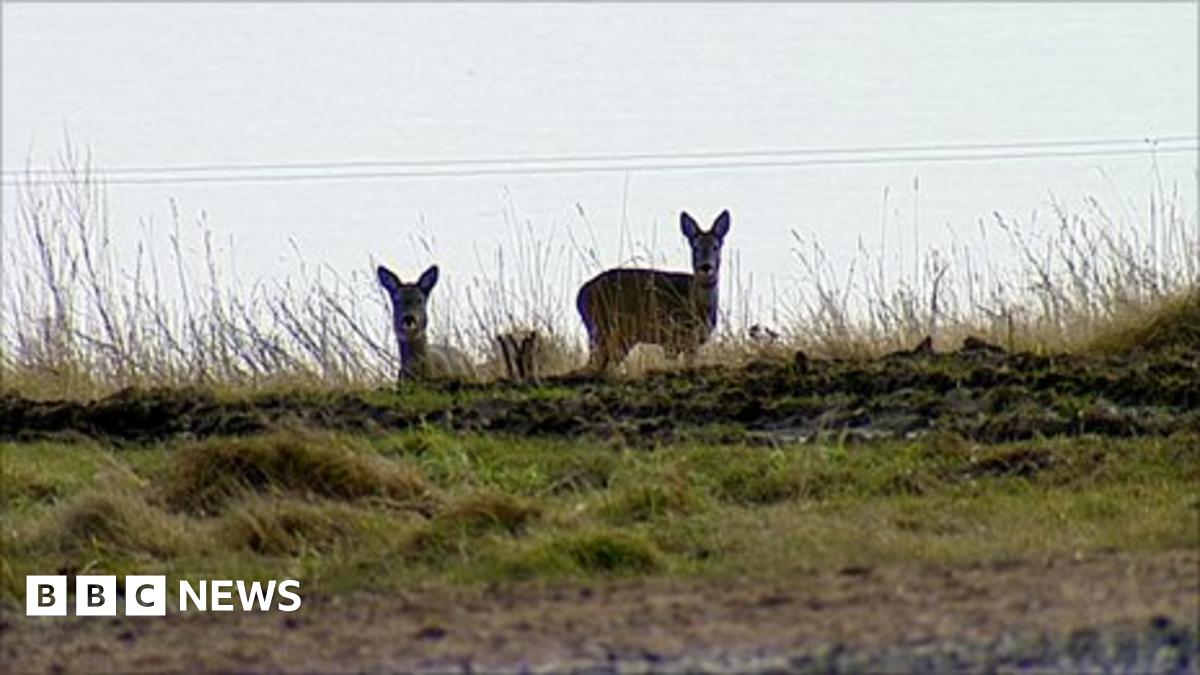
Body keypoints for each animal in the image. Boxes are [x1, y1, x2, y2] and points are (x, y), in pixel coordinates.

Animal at [576, 210, 730, 373]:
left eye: (716, 246)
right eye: (695, 247)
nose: (705, 266)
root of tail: (580, 296)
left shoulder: (692, 344)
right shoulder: (671, 337)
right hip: (601, 327)